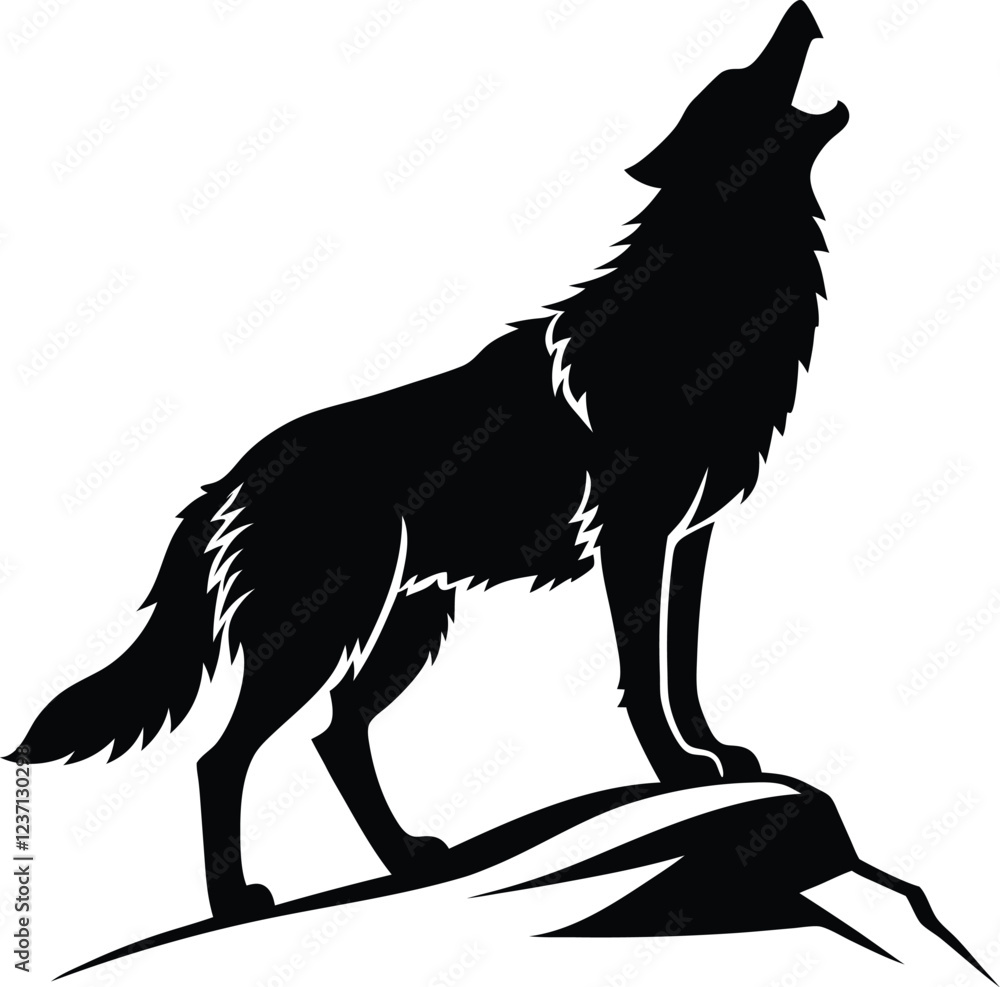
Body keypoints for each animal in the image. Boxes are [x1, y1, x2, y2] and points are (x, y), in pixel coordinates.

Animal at [7, 2, 847, 920]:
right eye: (742, 79)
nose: (800, 12)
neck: (708, 295)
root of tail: (235, 475)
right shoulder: (634, 539)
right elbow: (643, 676)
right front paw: (676, 770)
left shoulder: (689, 539)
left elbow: (683, 665)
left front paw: (715, 755)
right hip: (320, 638)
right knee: (223, 756)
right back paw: (237, 900)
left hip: (402, 629)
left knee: (335, 735)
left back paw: (404, 858)